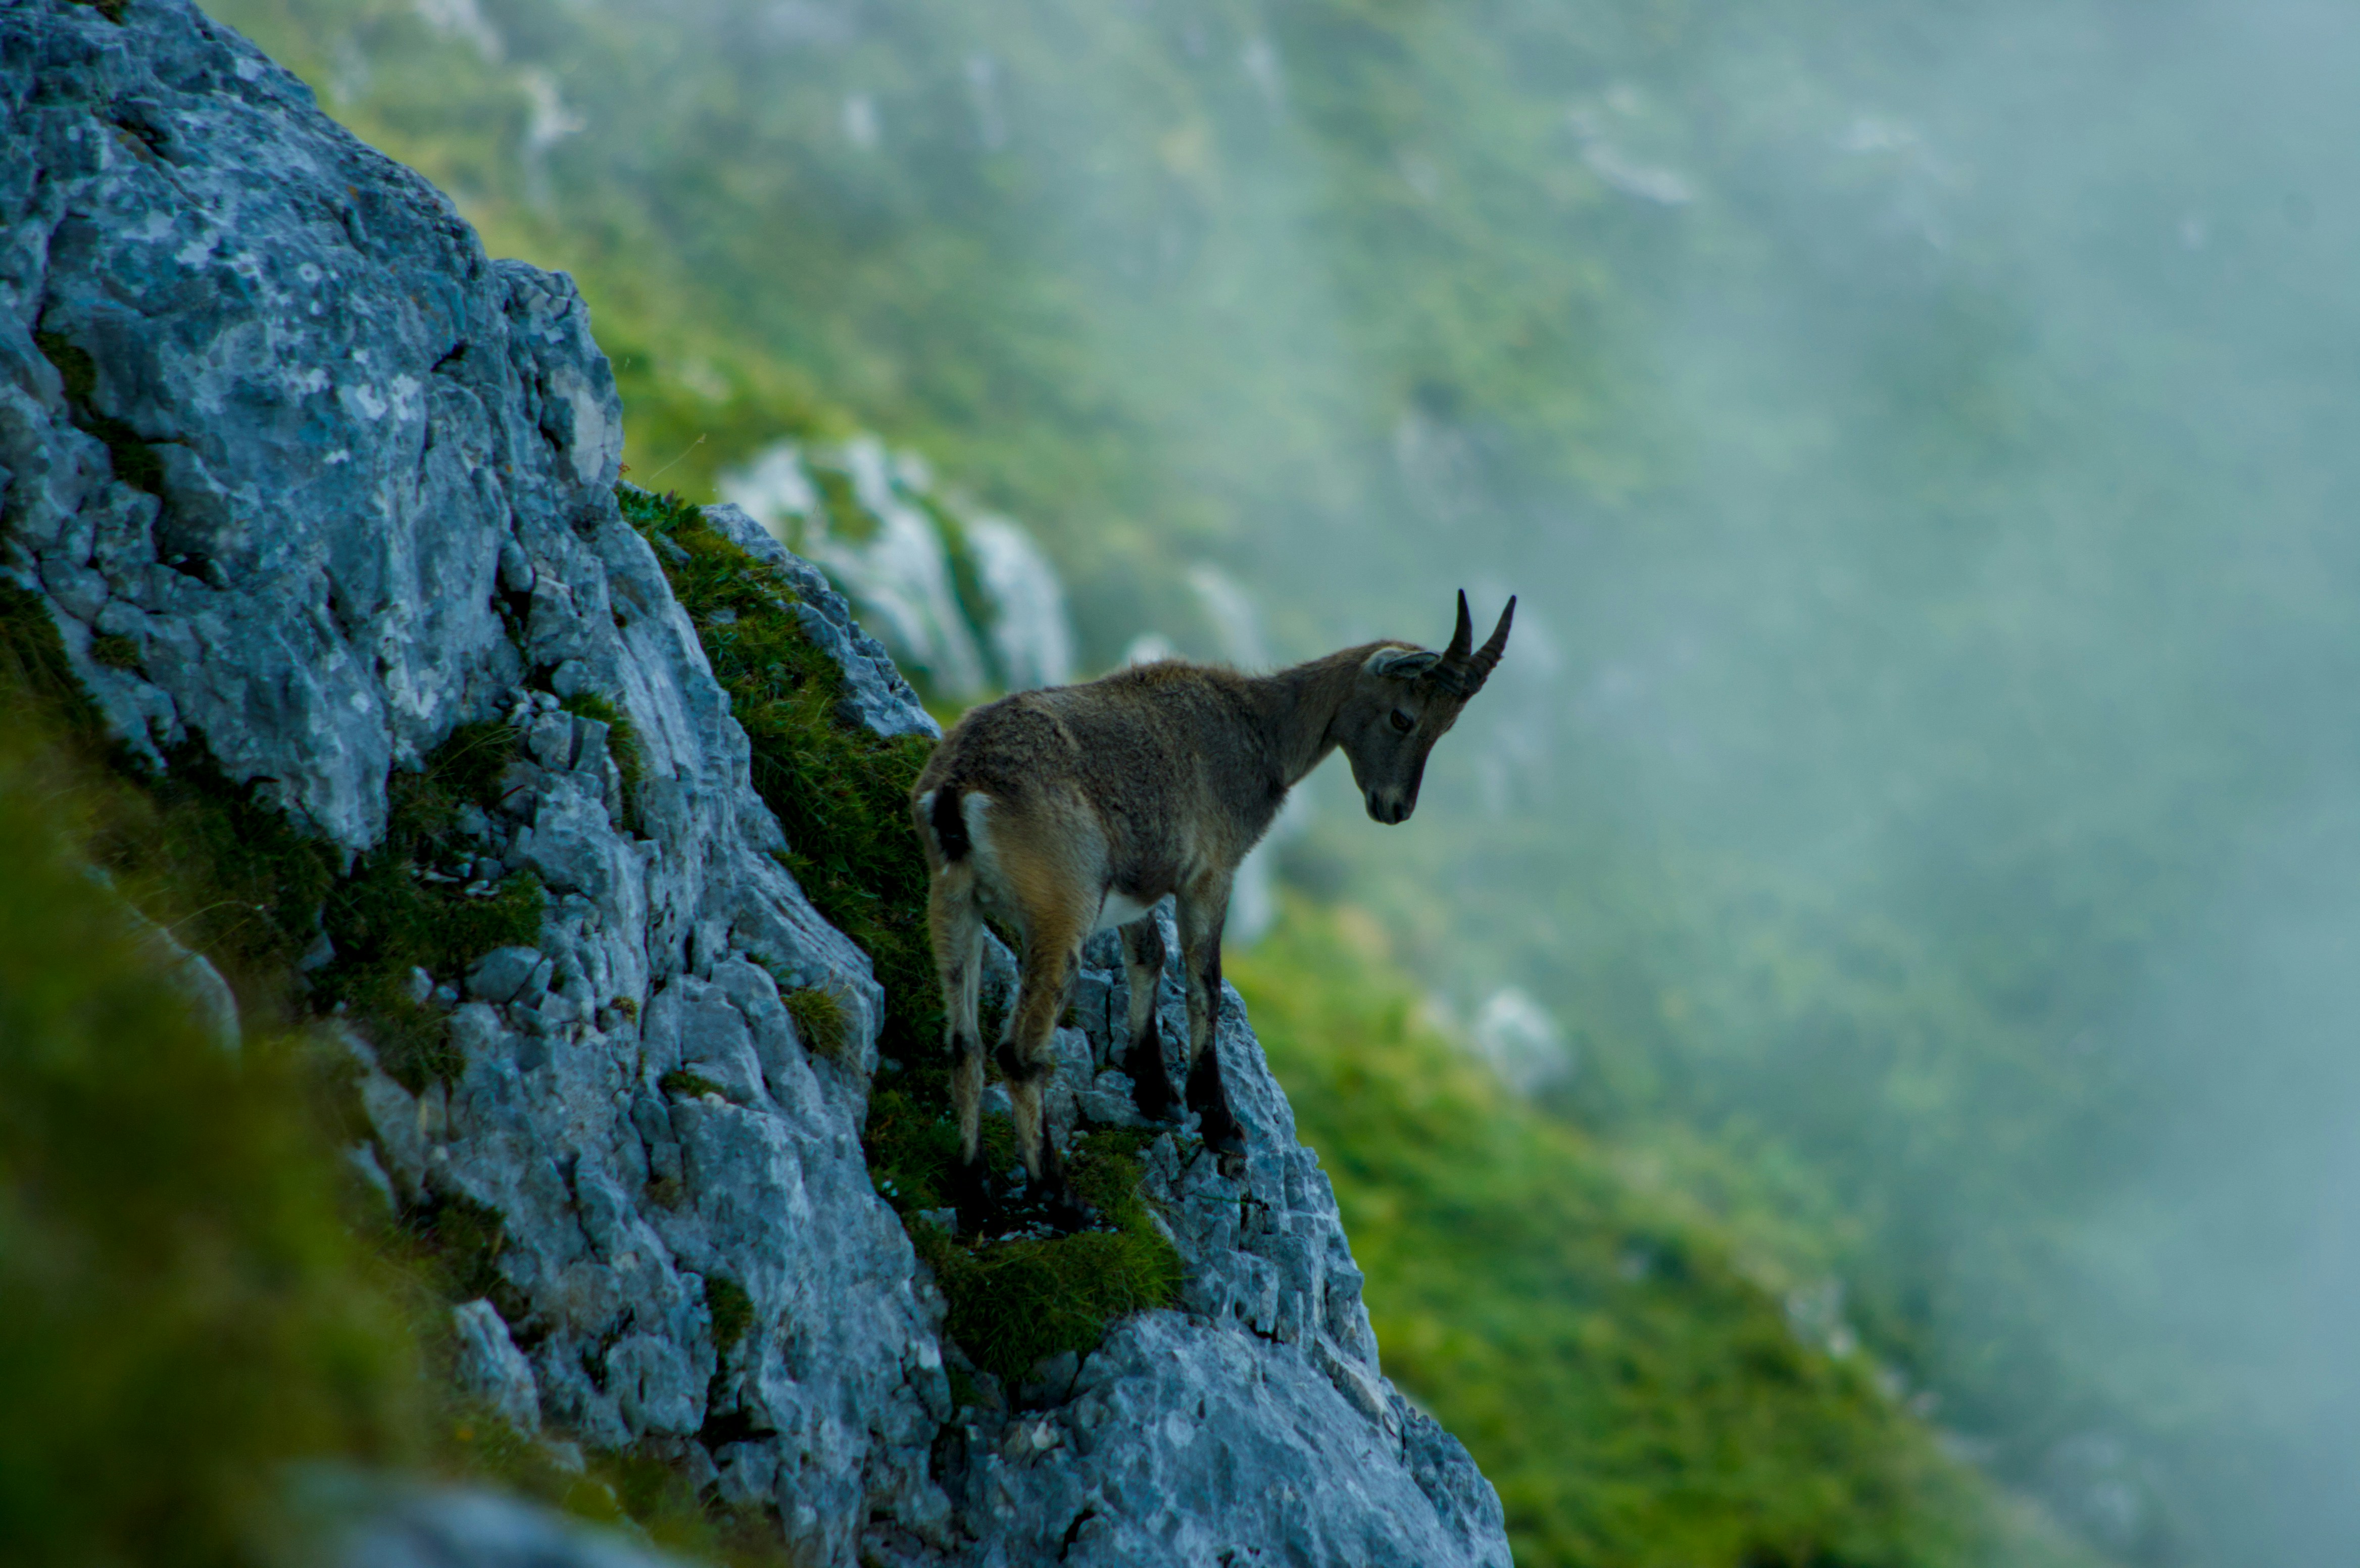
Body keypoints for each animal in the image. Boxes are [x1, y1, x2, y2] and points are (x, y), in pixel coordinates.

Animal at [911, 590, 1514, 1230]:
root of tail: (957, 789)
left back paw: (974, 1189)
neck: (1261, 729)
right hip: (1061, 910)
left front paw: (1154, 1086)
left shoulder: (1138, 882)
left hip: (954, 901)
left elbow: (1147, 954)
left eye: (1446, 726)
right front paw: (1219, 1120)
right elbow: (1206, 980)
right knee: (1020, 1052)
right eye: (1403, 716)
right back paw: (1058, 1195)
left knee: (964, 1042)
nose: (1395, 808)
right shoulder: (1211, 873)